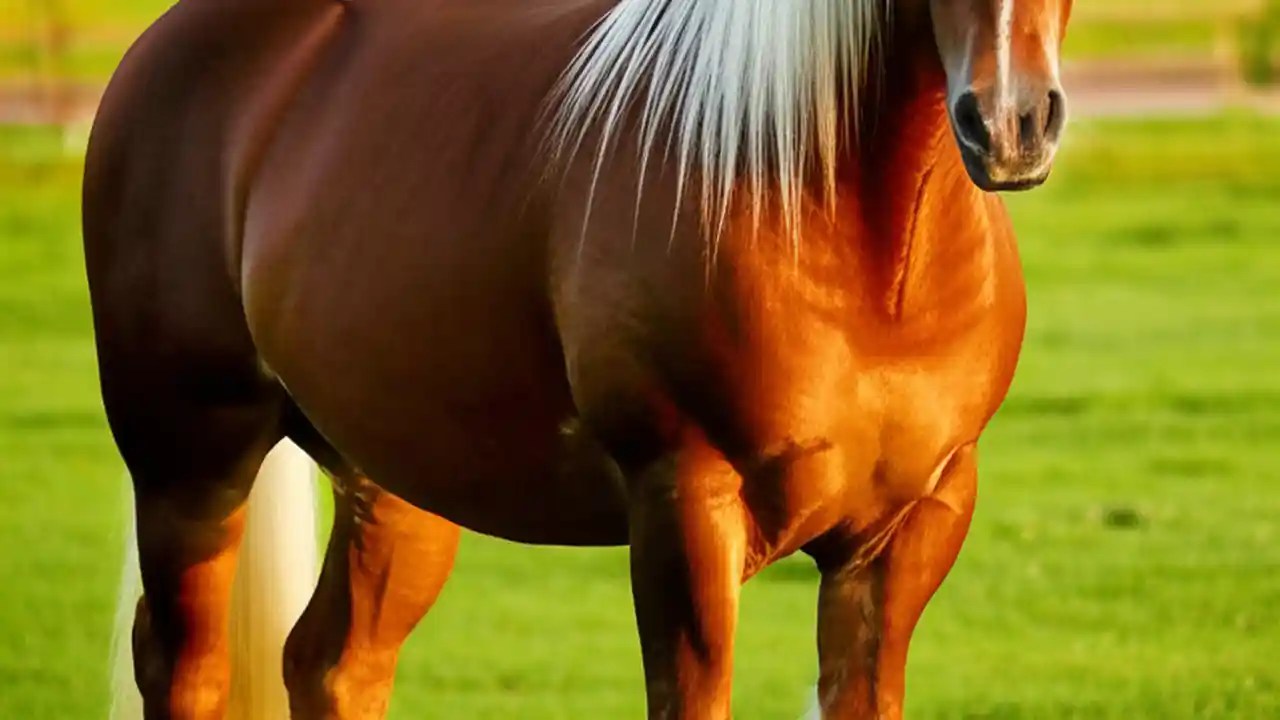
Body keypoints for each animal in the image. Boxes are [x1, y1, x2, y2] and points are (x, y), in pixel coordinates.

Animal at [84, 0, 1073, 718]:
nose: (1012, 122)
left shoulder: (908, 531)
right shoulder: (685, 509)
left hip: (392, 491)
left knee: (332, 664)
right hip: (190, 463)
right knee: (182, 667)